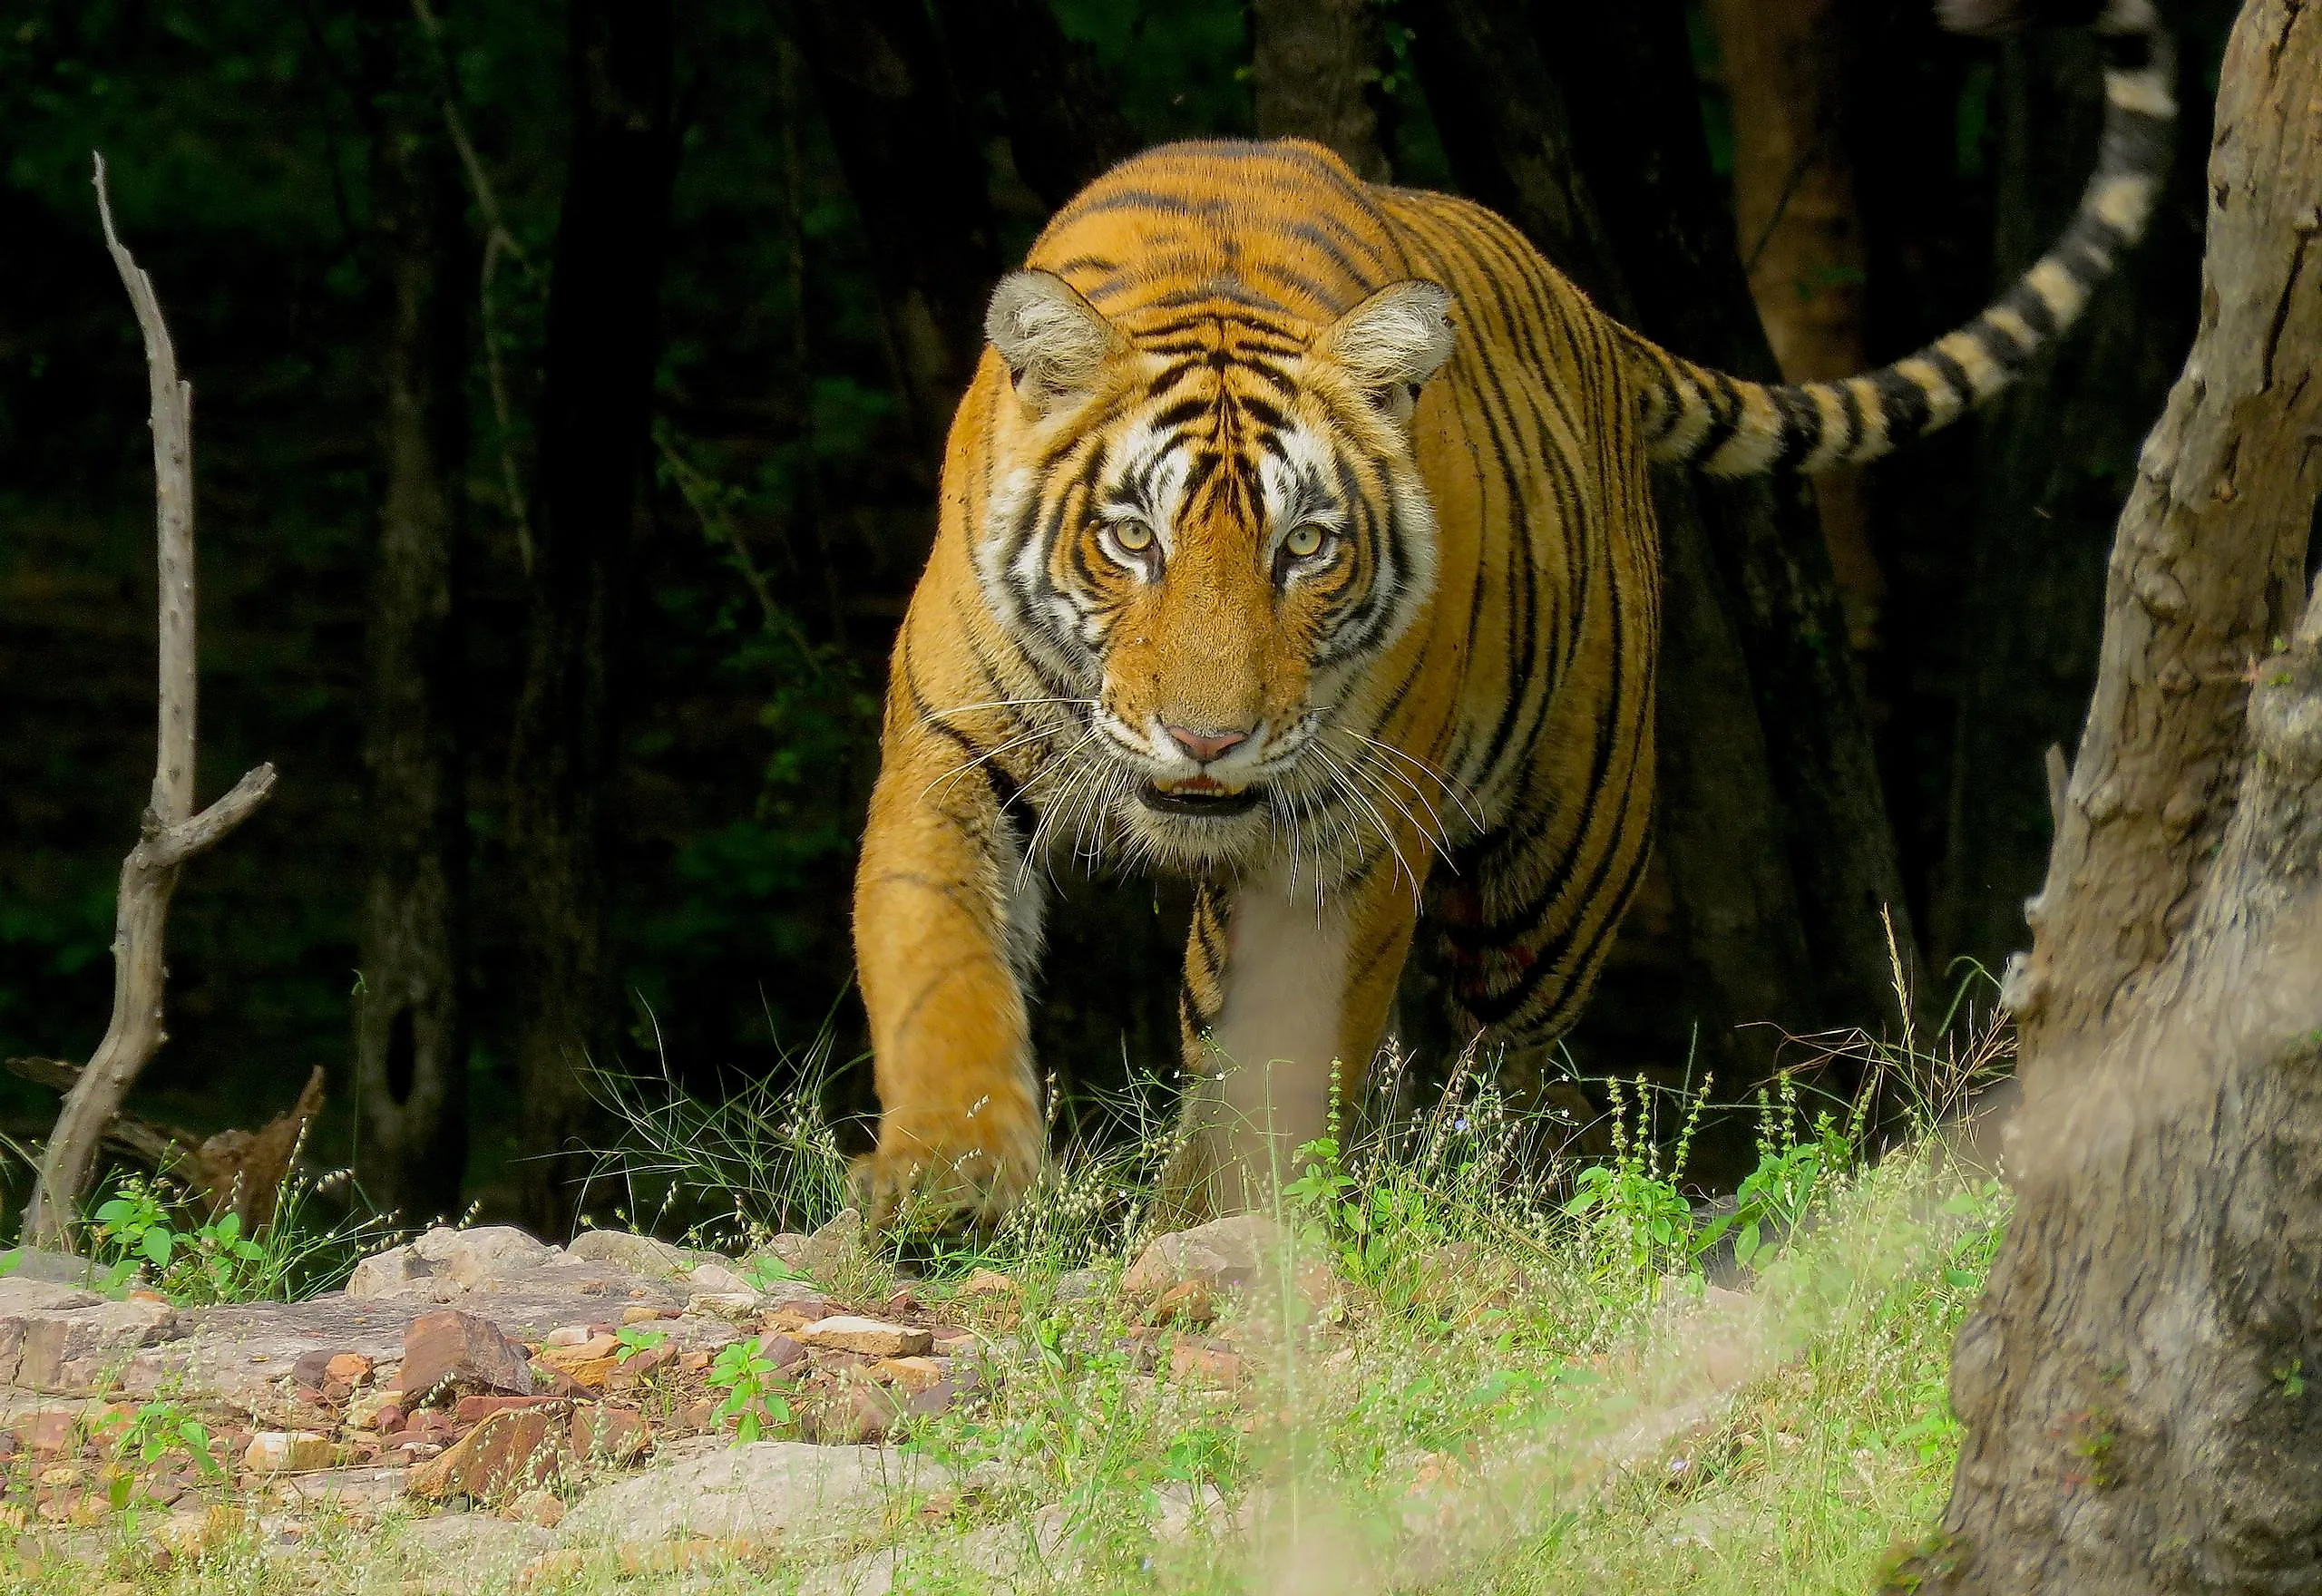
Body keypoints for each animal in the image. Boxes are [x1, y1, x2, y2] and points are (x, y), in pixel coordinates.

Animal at [848, 0, 2175, 1225]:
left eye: (1305, 547)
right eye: (1133, 539)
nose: (1208, 742)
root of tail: (1588, 306)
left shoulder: (1346, 830)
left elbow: (1293, 1059)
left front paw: (1251, 1225)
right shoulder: (948, 749)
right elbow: (936, 968)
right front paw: (948, 1180)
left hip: (1566, 861)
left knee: (1514, 1074)